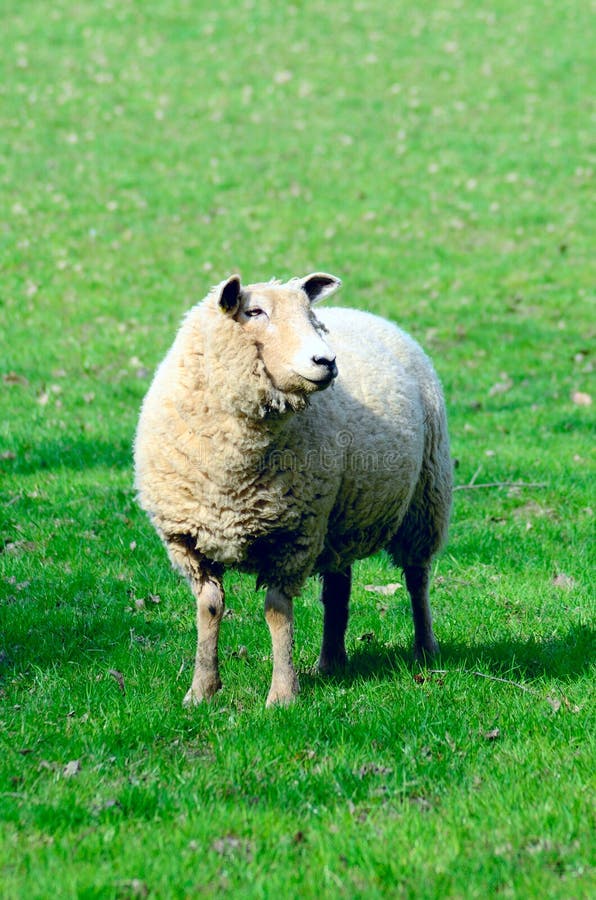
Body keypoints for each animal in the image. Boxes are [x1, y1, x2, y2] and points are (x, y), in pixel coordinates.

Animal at [133, 273, 452, 707]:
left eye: (311, 318)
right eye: (254, 311)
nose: (327, 361)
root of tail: (361, 312)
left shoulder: (293, 535)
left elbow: (276, 612)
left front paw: (282, 695)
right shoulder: (189, 542)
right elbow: (210, 610)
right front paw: (201, 691)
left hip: (425, 498)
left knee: (417, 577)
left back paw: (425, 648)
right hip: (339, 521)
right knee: (338, 588)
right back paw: (331, 661)